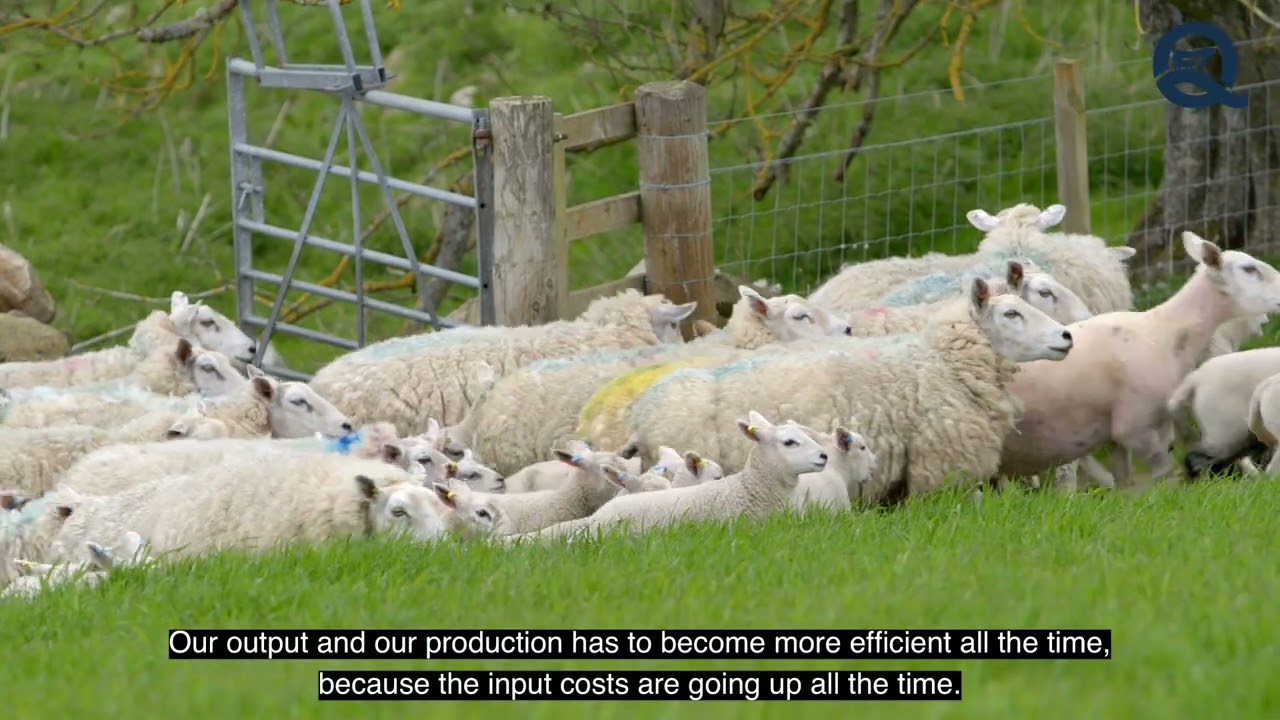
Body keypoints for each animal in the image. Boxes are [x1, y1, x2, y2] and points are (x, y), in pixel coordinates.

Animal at [998, 232, 1280, 490]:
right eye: (1249, 268)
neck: (1166, 331)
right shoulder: (1135, 427)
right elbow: (1164, 476)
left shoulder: (1121, 437)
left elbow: (1124, 484)